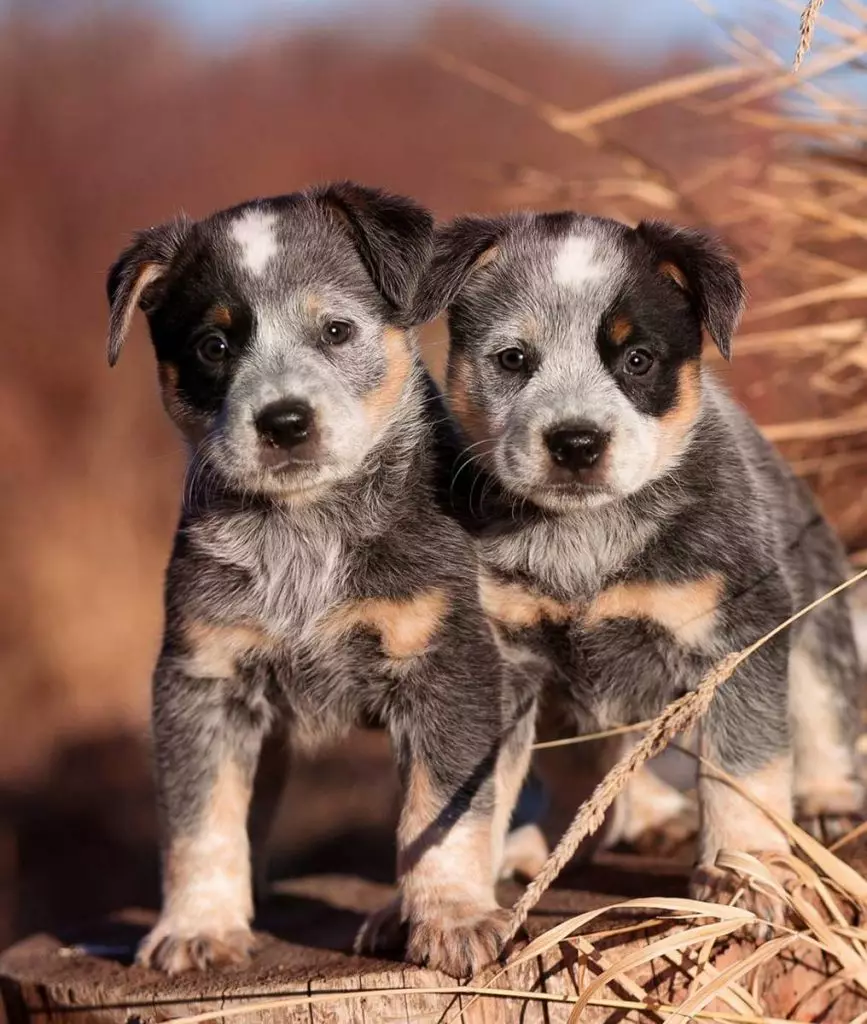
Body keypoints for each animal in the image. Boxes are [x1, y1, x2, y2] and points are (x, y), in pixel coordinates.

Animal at [104, 182, 532, 974]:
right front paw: (198, 928)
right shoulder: (203, 675)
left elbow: (441, 813)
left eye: (336, 330)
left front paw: (452, 919)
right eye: (214, 345)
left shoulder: (446, 662)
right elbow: (200, 817)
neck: (305, 533)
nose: (284, 420)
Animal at [417, 211, 863, 901]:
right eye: (513, 358)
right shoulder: (508, 658)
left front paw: (740, 869)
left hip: (812, 612)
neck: (584, 540)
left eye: (638, 359)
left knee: (823, 711)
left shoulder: (740, 633)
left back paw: (825, 802)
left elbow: (743, 764)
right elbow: (479, 792)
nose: (576, 442)